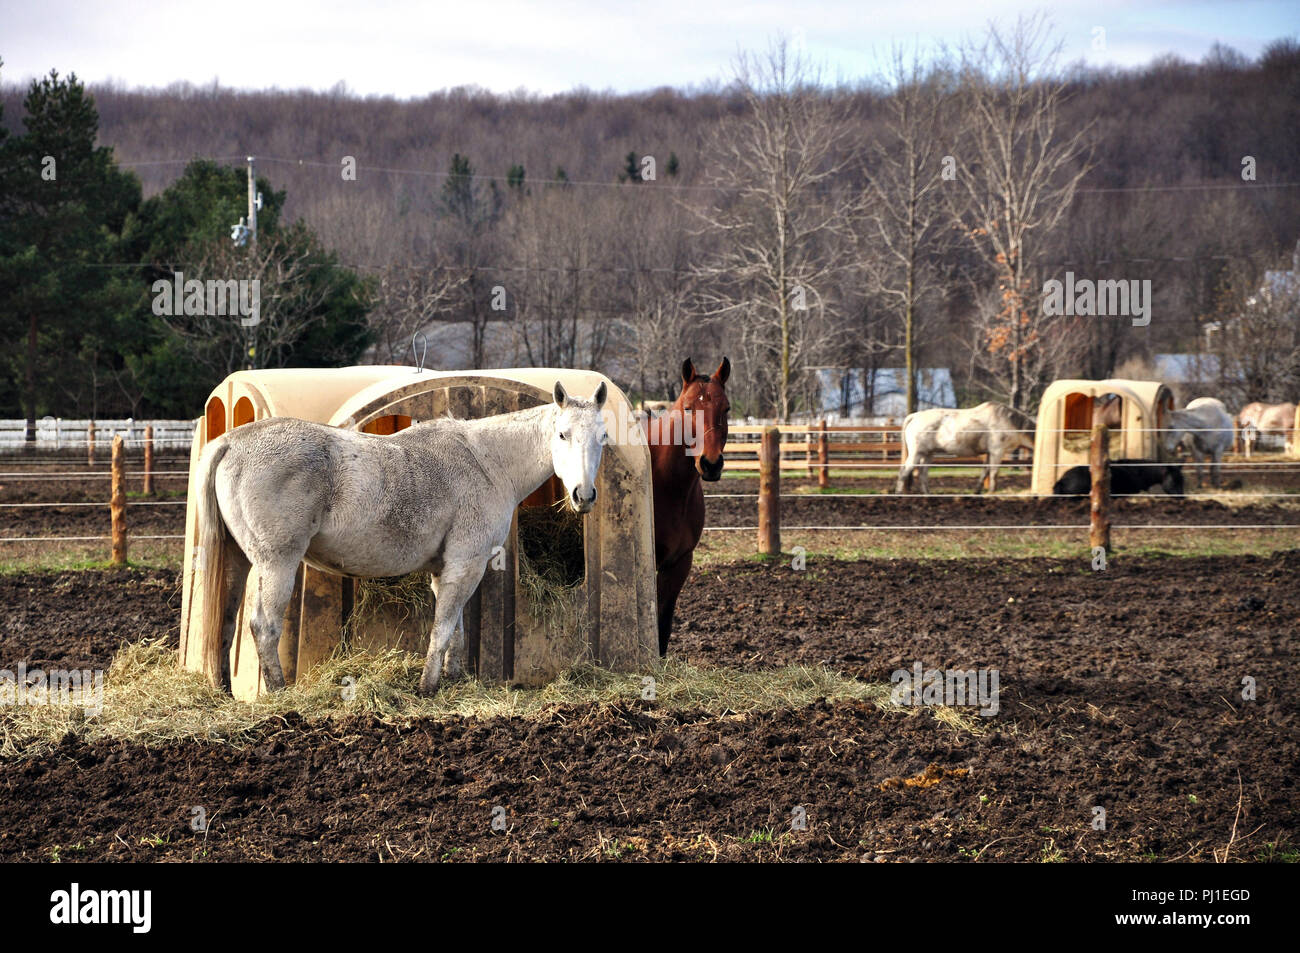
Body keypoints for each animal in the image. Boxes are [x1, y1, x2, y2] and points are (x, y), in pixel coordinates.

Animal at [192, 381, 609, 697]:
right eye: (562, 434)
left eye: (602, 437)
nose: (584, 496)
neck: (486, 462)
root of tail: (233, 442)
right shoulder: (467, 564)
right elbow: (443, 628)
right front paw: (427, 688)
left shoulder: (447, 569)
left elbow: (455, 629)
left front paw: (453, 680)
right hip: (277, 562)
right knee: (264, 626)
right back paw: (279, 693)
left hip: (238, 560)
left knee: (226, 621)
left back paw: (224, 689)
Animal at [895, 401, 1035, 494]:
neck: (1009, 422)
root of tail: (915, 416)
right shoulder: (997, 452)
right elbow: (994, 472)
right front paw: (991, 492)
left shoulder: (989, 453)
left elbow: (985, 472)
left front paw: (977, 491)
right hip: (916, 453)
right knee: (904, 471)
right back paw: (899, 494)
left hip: (928, 453)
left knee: (923, 474)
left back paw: (927, 495)